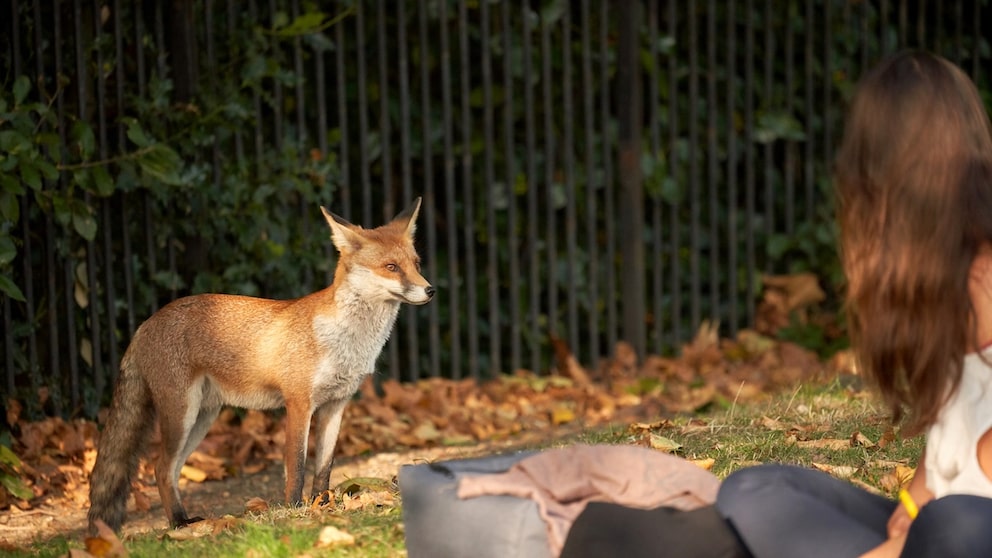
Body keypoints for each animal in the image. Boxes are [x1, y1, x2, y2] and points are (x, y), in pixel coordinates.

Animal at [87, 198, 434, 534]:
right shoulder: (299, 403)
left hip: (202, 418)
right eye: (391, 267)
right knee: (160, 468)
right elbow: (296, 466)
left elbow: (323, 469)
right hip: (181, 414)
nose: (430, 290)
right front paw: (295, 511)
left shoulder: (336, 404)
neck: (348, 341)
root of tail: (144, 325)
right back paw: (178, 524)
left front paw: (323, 507)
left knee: (170, 470)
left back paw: (181, 521)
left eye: (416, 264)